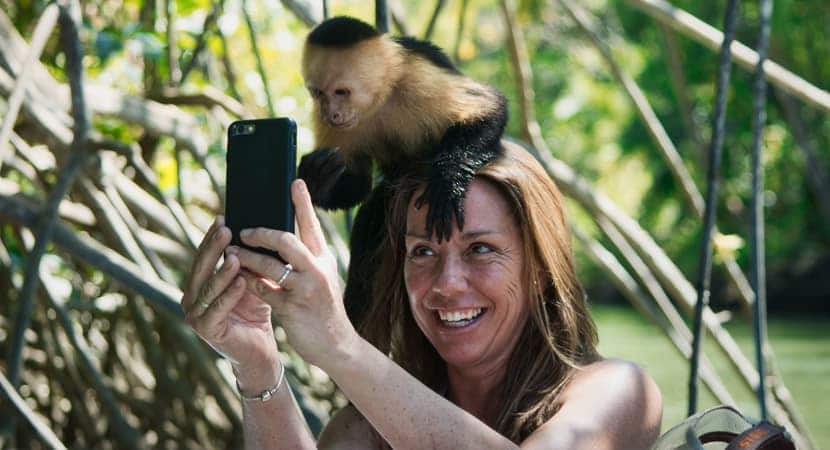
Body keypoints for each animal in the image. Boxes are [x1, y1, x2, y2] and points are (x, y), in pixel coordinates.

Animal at [297, 16, 507, 325]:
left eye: (341, 92)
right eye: (318, 93)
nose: (330, 114)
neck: (381, 97)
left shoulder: (419, 79)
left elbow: (490, 107)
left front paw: (450, 177)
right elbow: (357, 184)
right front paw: (317, 178)